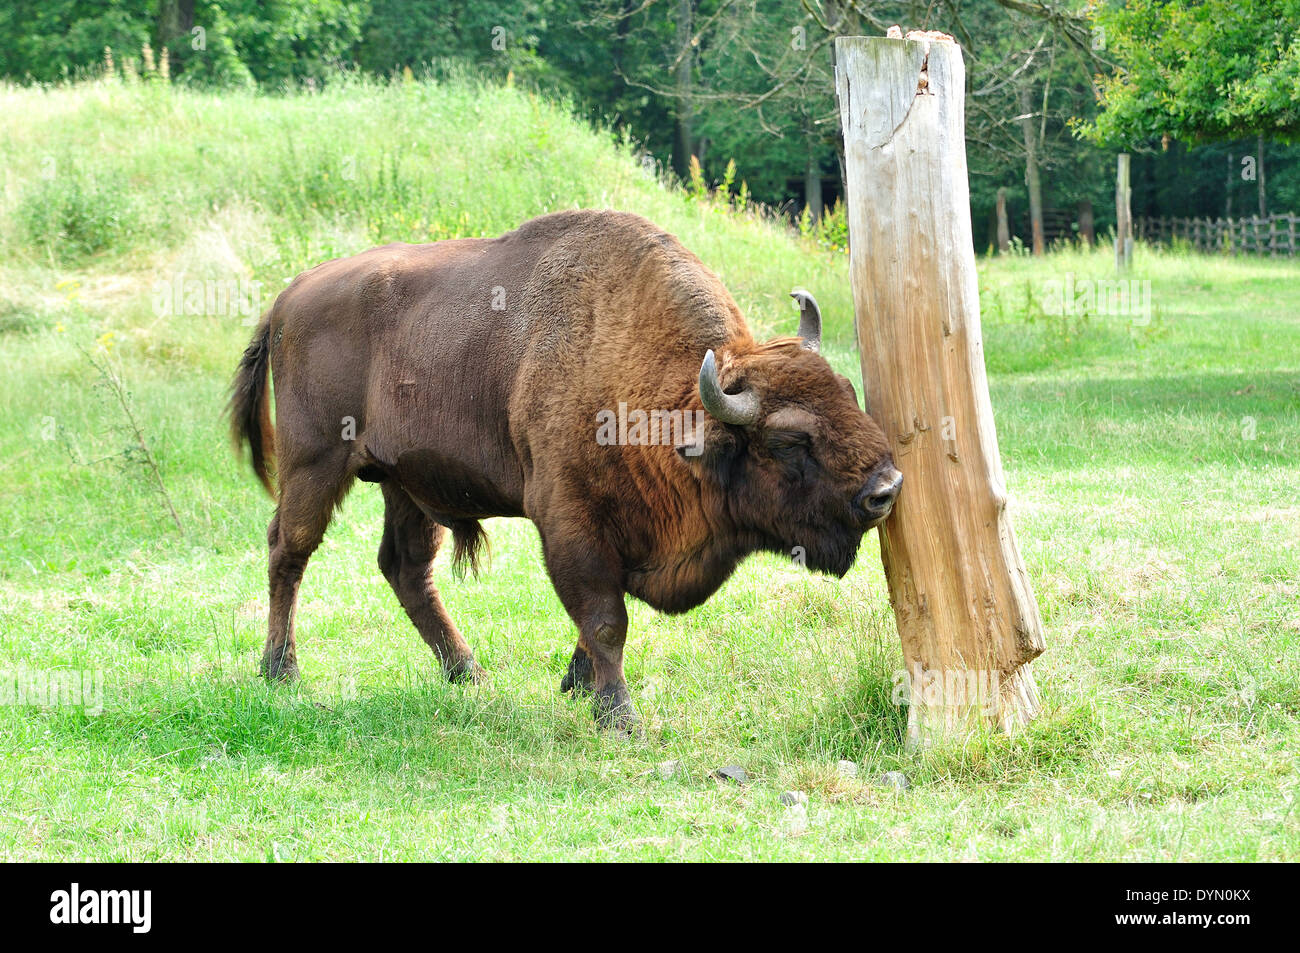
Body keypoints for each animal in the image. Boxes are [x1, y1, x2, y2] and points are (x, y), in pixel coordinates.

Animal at [229, 209, 901, 730]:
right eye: (789, 440)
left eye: (849, 391)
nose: (885, 489)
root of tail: (289, 296)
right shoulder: (570, 523)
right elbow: (606, 620)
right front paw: (618, 716)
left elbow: (600, 618)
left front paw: (577, 686)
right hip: (316, 464)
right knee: (288, 550)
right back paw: (281, 670)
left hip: (405, 484)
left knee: (406, 568)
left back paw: (468, 672)